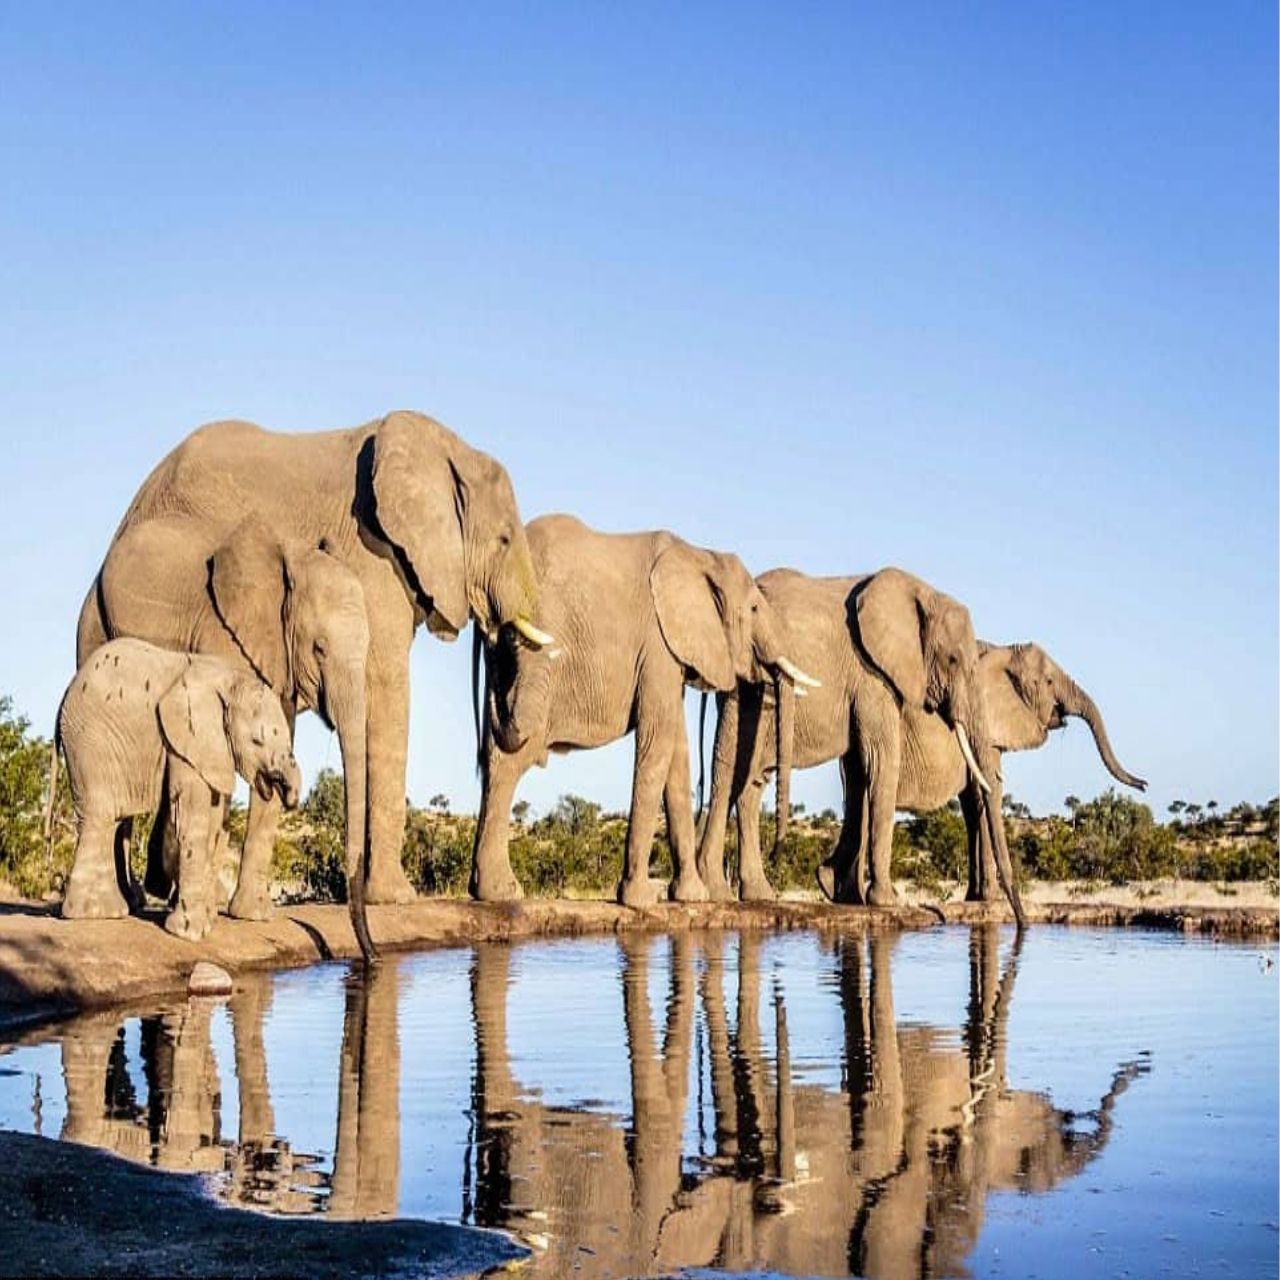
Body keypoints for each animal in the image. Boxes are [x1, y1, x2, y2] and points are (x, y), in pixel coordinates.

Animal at [53, 638, 300, 940]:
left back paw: (107, 912)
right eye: (256, 741)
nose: (285, 791)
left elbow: (213, 818)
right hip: (91, 743)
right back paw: (92, 914)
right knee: (100, 816)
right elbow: (191, 813)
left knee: (109, 820)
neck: (229, 679)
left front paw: (207, 920)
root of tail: (67, 692)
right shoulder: (183, 736)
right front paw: (190, 933)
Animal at [470, 514, 817, 907]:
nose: (777, 851)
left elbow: (677, 755)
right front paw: (640, 899)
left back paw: (487, 889)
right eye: (755, 608)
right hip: (534, 642)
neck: (701, 554)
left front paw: (691, 897)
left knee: (496, 753)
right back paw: (503, 892)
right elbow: (658, 741)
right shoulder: (658, 645)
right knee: (515, 749)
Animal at [695, 567, 1023, 918]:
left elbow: (857, 771)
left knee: (748, 779)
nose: (1020, 922)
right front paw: (886, 901)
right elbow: (881, 762)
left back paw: (756, 894)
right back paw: (719, 892)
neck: (923, 593)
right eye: (952, 660)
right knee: (730, 768)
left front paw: (839, 890)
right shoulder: (872, 677)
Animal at [701, 637, 1147, 905]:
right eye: (1049, 681)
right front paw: (990, 900)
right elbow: (985, 794)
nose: (1144, 784)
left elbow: (974, 803)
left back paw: (834, 890)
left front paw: (978, 899)